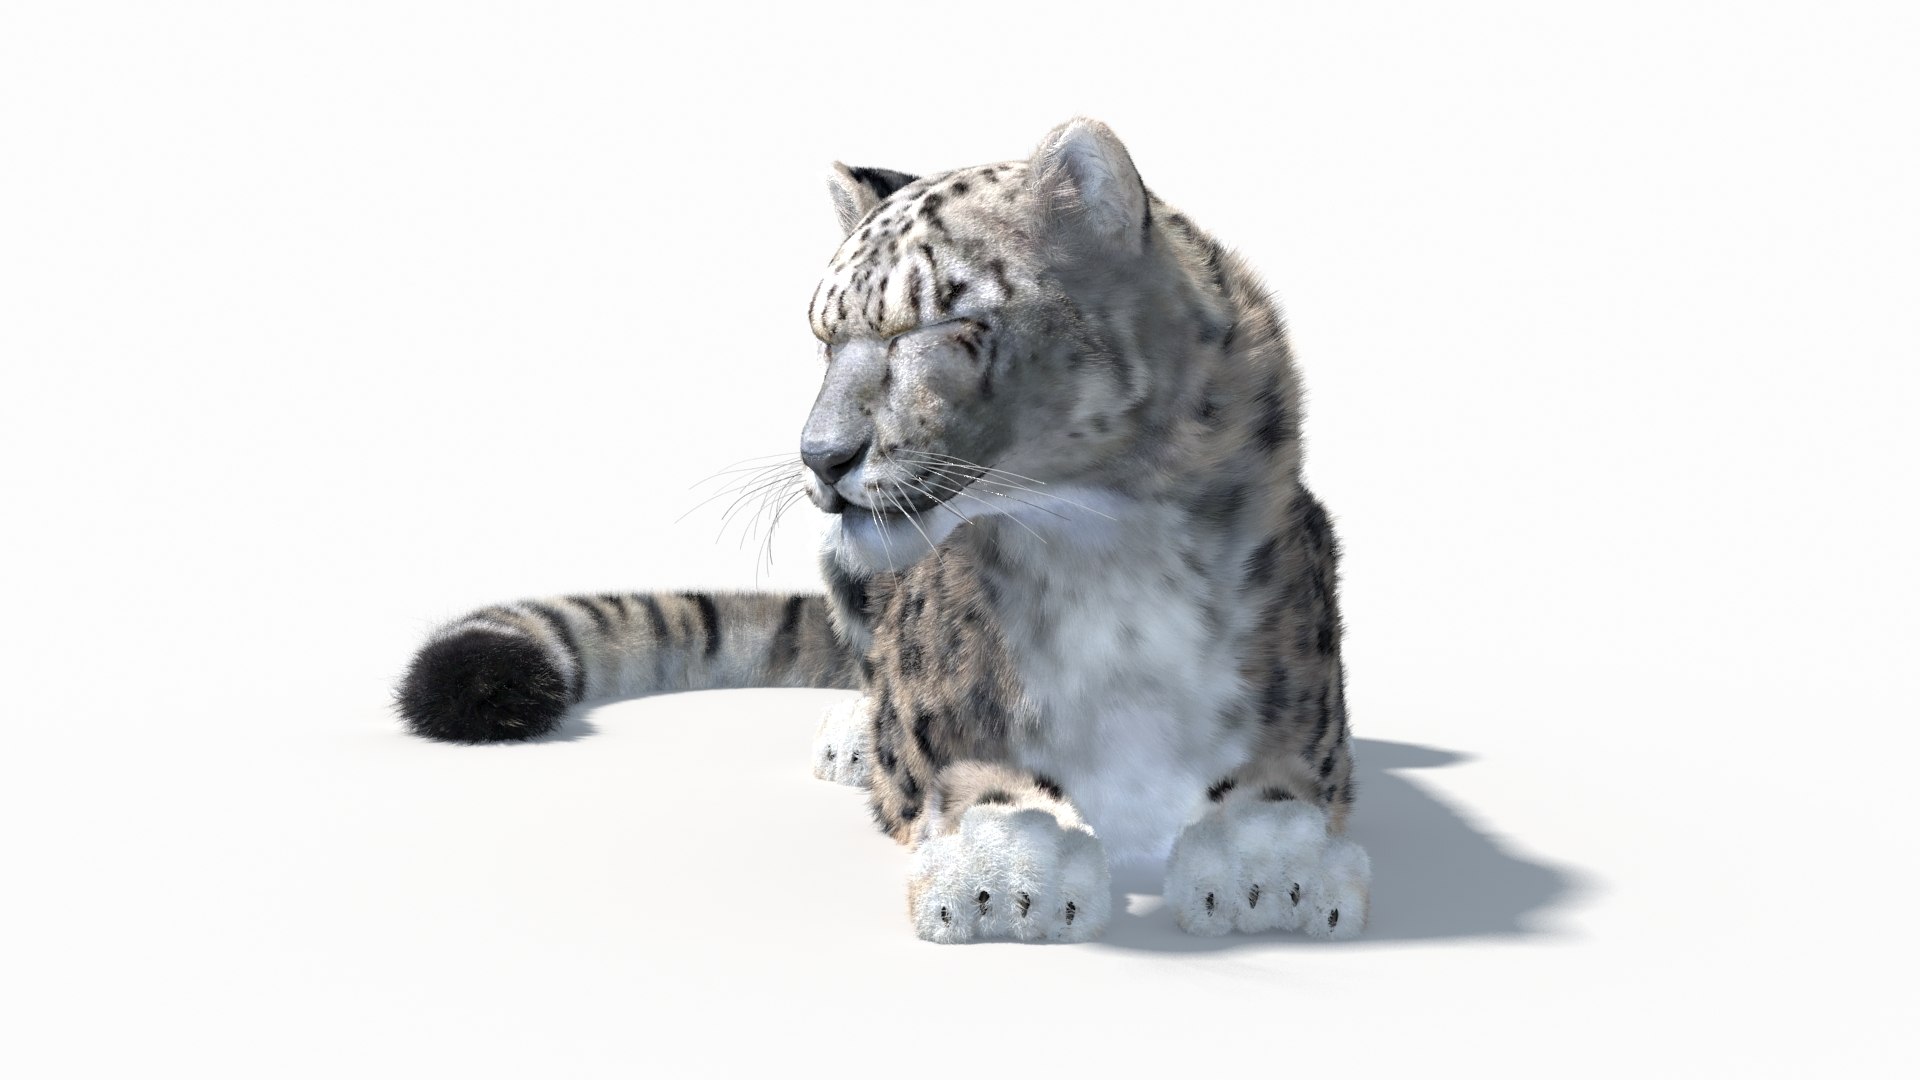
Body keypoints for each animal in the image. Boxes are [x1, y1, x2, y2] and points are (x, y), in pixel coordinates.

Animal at [395, 119, 1371, 944]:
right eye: (825, 339)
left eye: (948, 321)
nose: (820, 457)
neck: (1102, 552)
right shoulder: (954, 680)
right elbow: (969, 759)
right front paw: (1008, 876)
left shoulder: (1295, 652)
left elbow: (1285, 774)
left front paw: (1268, 876)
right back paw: (856, 737)